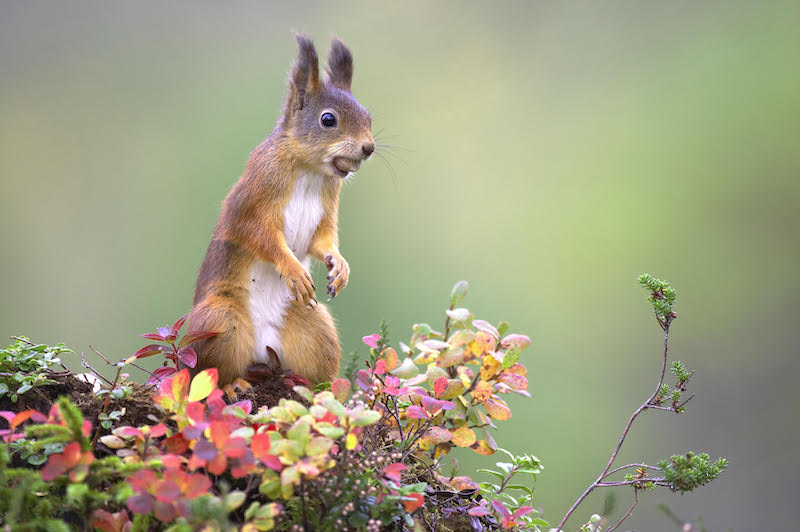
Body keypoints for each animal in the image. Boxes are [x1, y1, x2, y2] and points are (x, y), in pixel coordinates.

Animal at [186, 35, 374, 387]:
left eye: (368, 116)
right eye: (328, 119)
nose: (368, 148)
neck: (309, 171)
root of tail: (261, 352)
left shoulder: (327, 206)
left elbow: (322, 240)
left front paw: (340, 266)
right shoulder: (253, 197)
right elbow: (258, 235)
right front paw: (293, 269)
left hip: (316, 329)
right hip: (220, 321)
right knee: (207, 373)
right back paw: (233, 385)